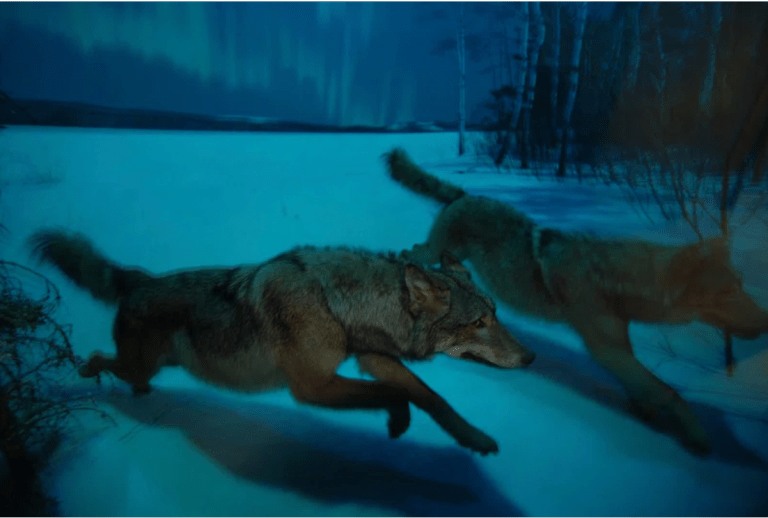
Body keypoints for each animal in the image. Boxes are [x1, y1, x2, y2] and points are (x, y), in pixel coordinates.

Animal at [27, 229, 537, 455]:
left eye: (496, 315)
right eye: (478, 322)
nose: (532, 357)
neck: (338, 304)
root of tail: (139, 279)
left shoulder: (372, 358)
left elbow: (431, 397)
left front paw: (473, 437)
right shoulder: (313, 386)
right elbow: (393, 395)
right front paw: (397, 423)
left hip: (154, 365)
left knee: (123, 371)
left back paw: (138, 393)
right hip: (140, 361)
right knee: (97, 357)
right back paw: (87, 373)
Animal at [384, 147, 768, 456]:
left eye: (739, 286)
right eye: (727, 292)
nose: (765, 321)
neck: (616, 281)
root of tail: (465, 195)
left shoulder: (618, 345)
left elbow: (646, 387)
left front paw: (645, 412)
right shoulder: (605, 348)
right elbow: (670, 391)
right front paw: (698, 437)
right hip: (434, 252)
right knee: (408, 253)